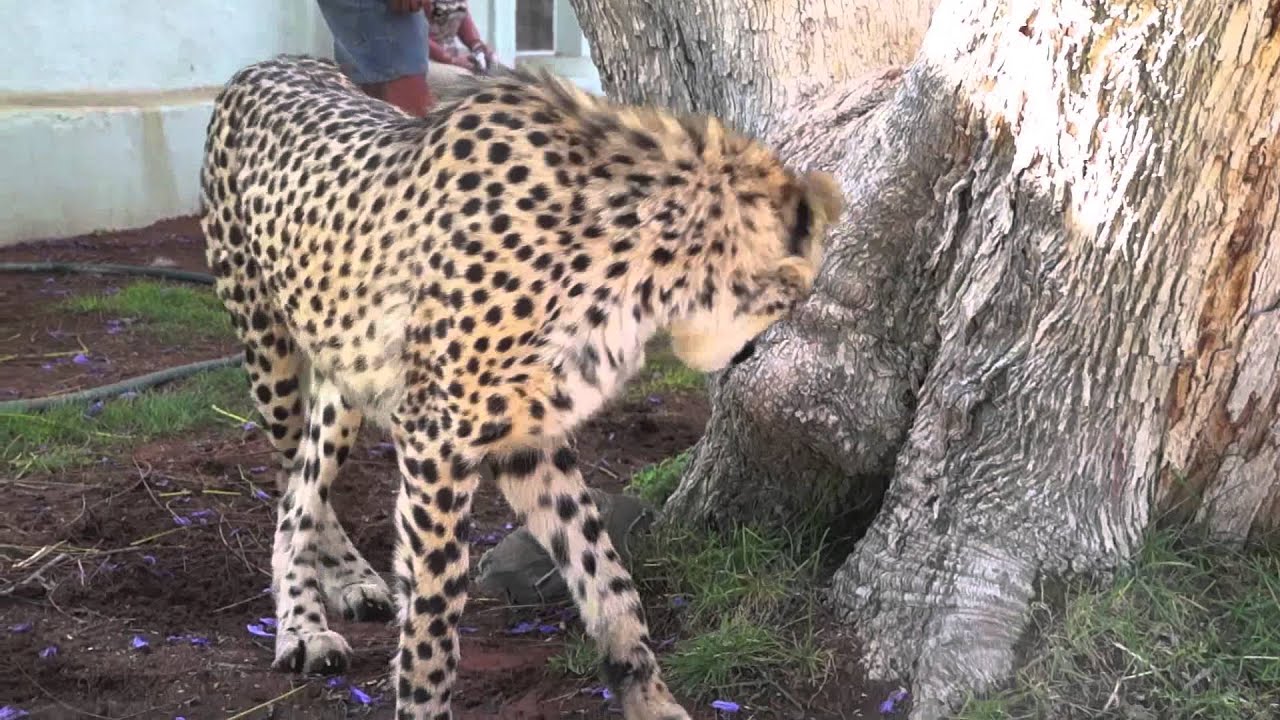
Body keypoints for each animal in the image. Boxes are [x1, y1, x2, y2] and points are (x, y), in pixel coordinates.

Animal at [199, 53, 844, 720]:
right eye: (794, 294)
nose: (748, 355)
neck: (633, 262)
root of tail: (272, 62)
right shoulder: (436, 442)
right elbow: (434, 610)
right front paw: (422, 704)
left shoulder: (530, 442)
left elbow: (604, 571)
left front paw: (648, 697)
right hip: (268, 350)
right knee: (289, 494)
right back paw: (302, 625)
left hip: (343, 360)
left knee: (305, 483)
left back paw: (350, 581)